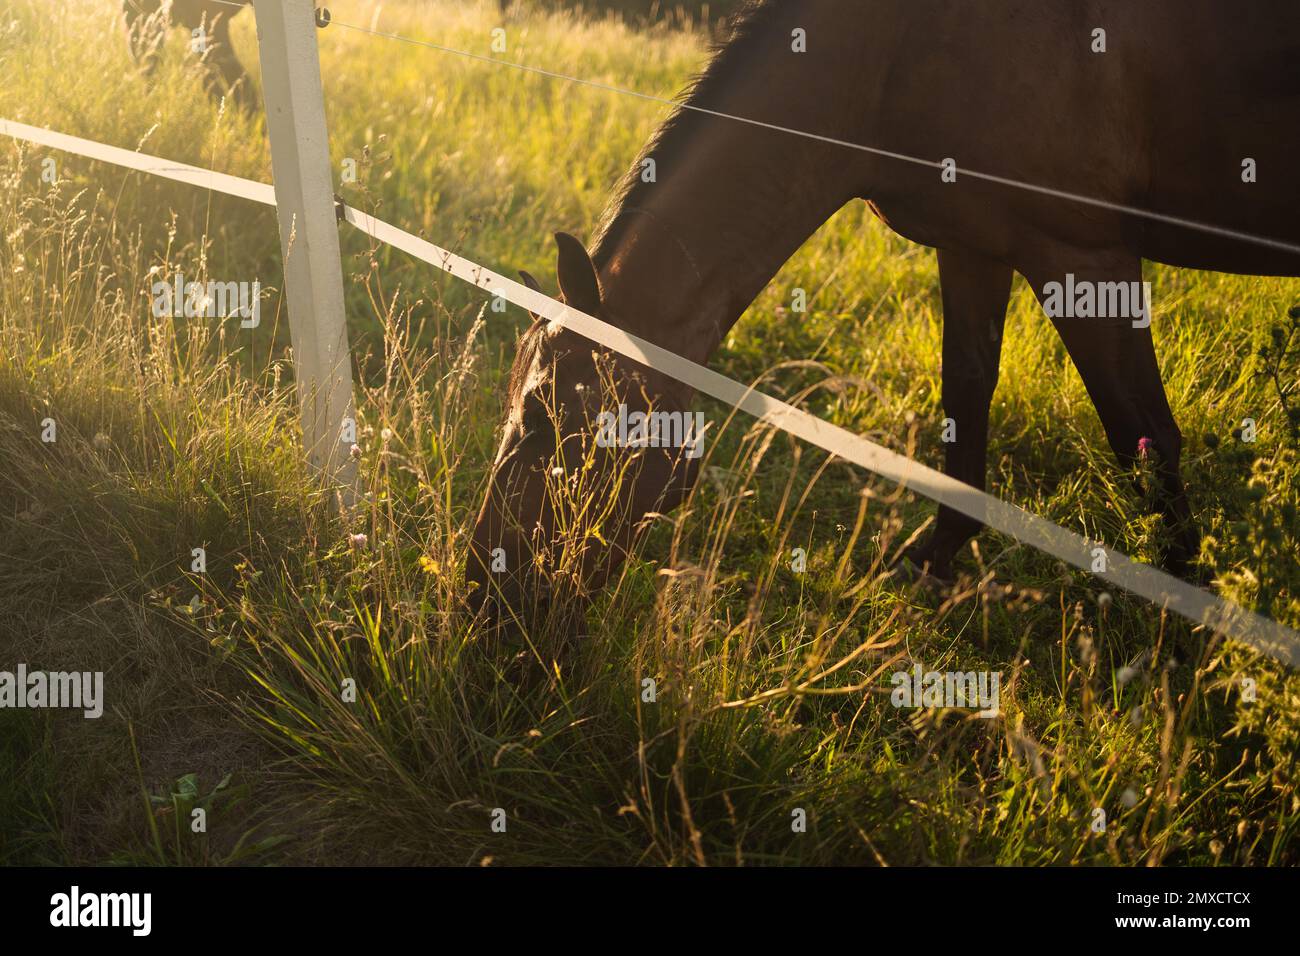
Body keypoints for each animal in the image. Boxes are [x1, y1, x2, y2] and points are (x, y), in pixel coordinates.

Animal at [468, 0, 1300, 623]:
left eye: (544, 419)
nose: (482, 589)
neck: (899, 51)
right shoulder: (976, 244)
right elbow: (967, 393)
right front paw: (932, 562)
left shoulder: (1084, 256)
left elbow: (1144, 439)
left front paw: (1181, 648)